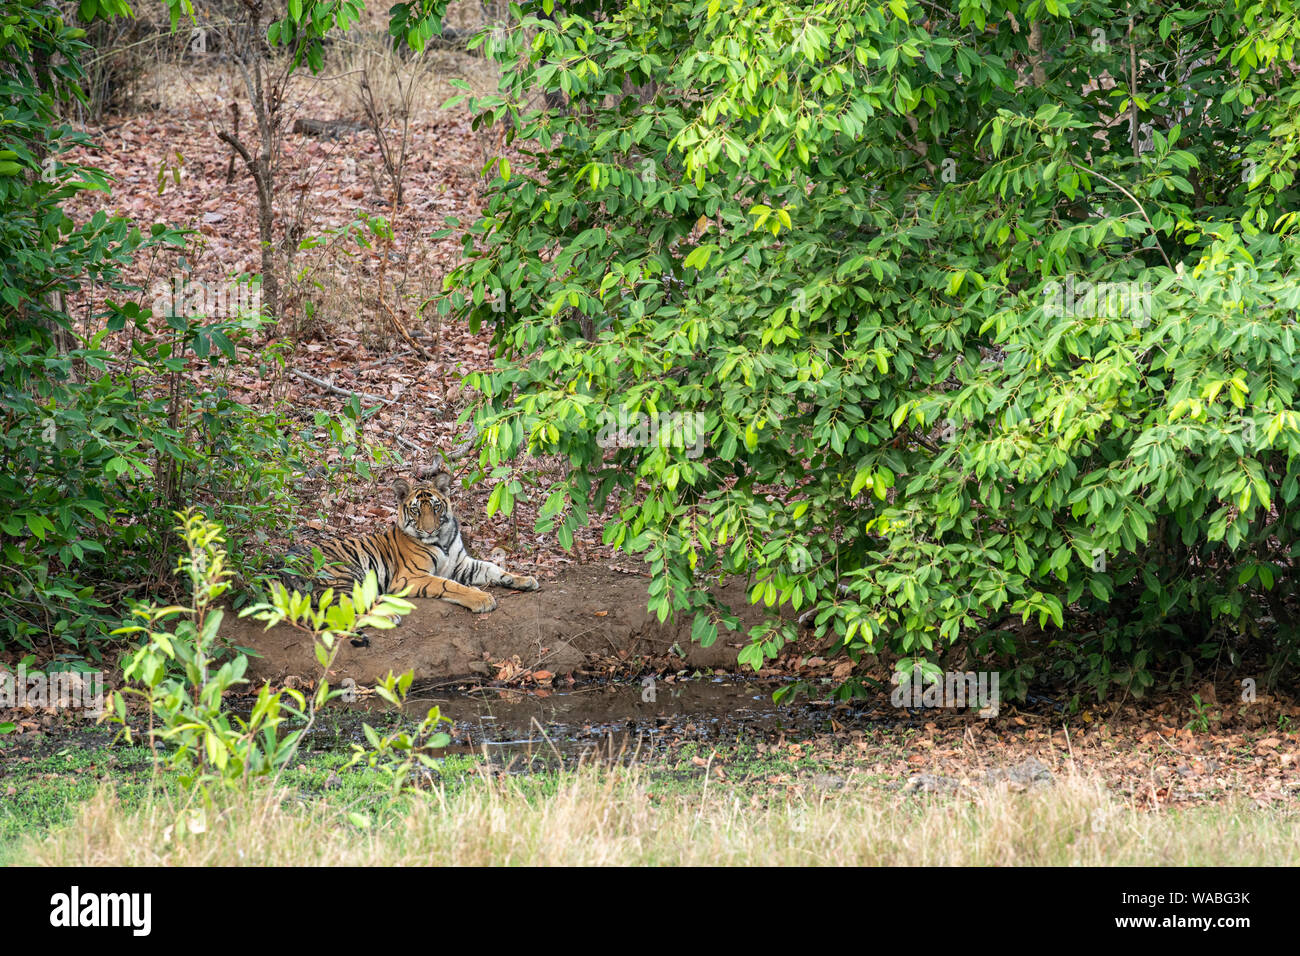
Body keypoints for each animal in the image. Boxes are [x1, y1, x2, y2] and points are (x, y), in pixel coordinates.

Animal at [286, 473, 539, 618]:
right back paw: (388, 617)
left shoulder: (462, 564)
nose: (428, 530)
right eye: (416, 510)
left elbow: (494, 568)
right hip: (347, 576)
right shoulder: (411, 576)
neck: (442, 539)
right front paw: (482, 599)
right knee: (344, 608)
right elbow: (450, 585)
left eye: (436, 507)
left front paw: (524, 580)